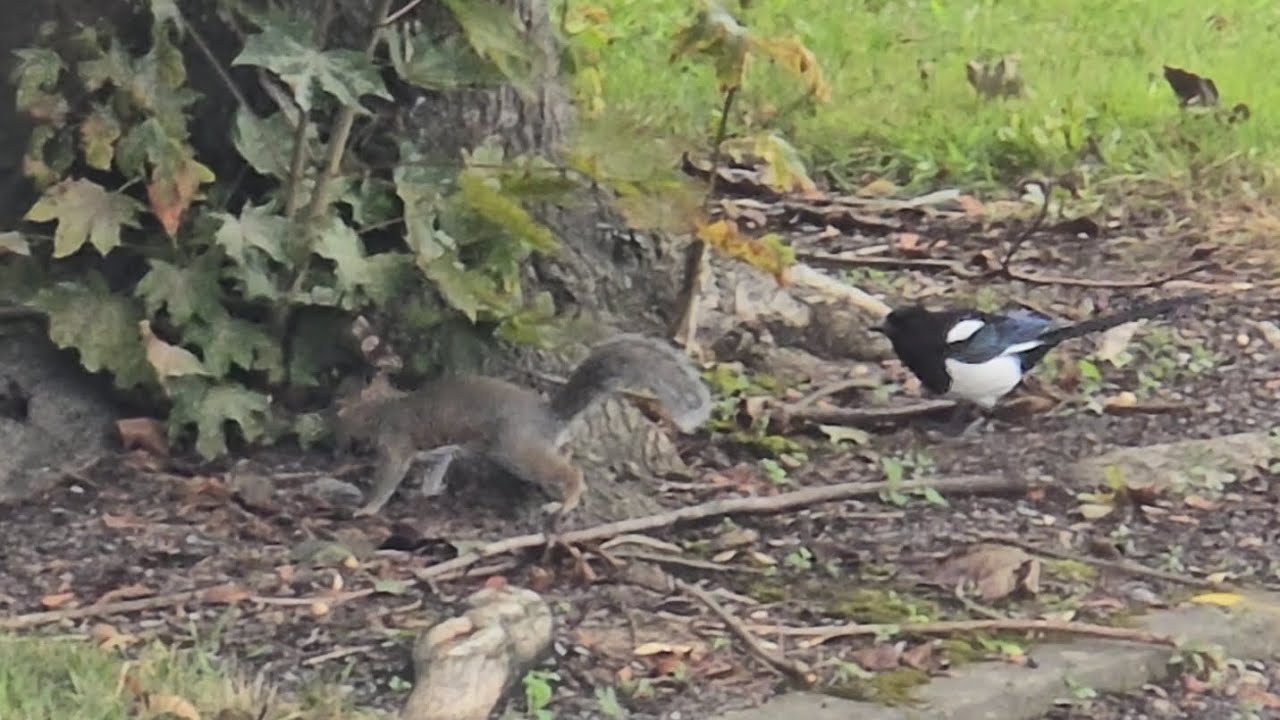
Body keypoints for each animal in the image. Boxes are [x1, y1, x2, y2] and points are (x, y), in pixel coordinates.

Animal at [337, 334, 714, 519]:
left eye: (340, 405)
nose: (331, 418)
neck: (384, 408)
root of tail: (549, 418)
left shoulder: (395, 445)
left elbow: (387, 480)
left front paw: (366, 508)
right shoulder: (437, 450)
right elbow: (437, 467)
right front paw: (432, 490)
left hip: (517, 451)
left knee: (569, 473)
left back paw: (565, 502)